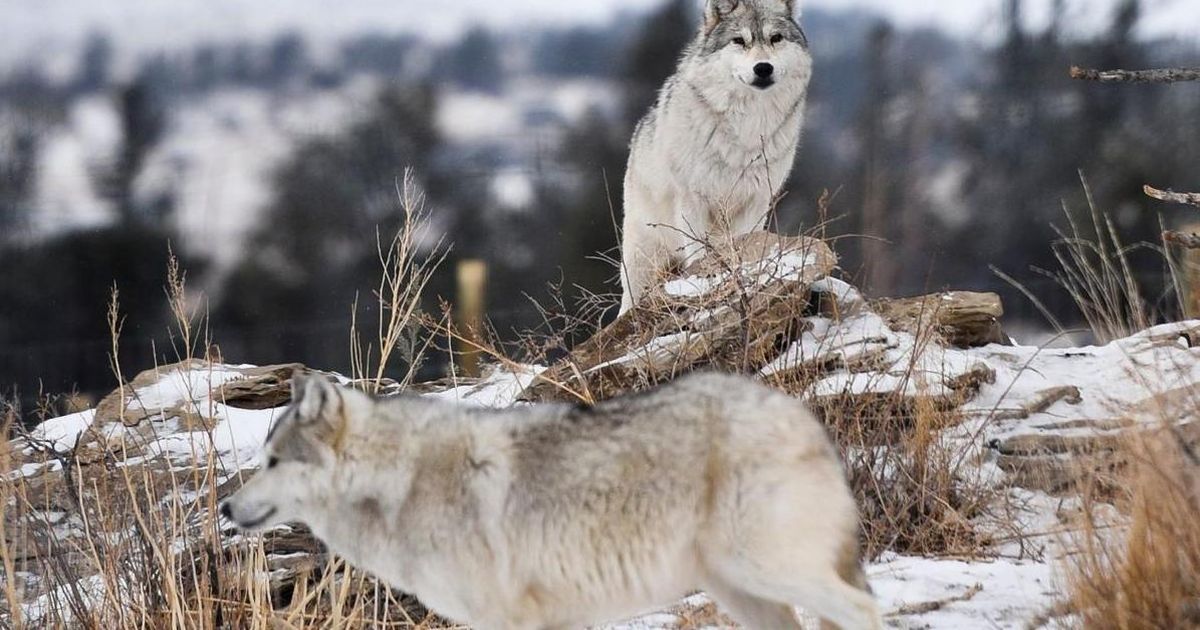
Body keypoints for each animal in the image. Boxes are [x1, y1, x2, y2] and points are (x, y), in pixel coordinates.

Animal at [222, 373, 881, 630]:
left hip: (763, 570)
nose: (226, 511)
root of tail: (802, 416)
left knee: (863, 608)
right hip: (742, 590)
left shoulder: (509, 618)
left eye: (274, 462)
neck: (400, 481)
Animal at [620, 0, 813, 313]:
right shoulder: (692, 202)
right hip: (642, 262)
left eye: (776, 38)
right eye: (739, 41)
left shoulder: (757, 202)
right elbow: (700, 255)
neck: (748, 128)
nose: (763, 68)